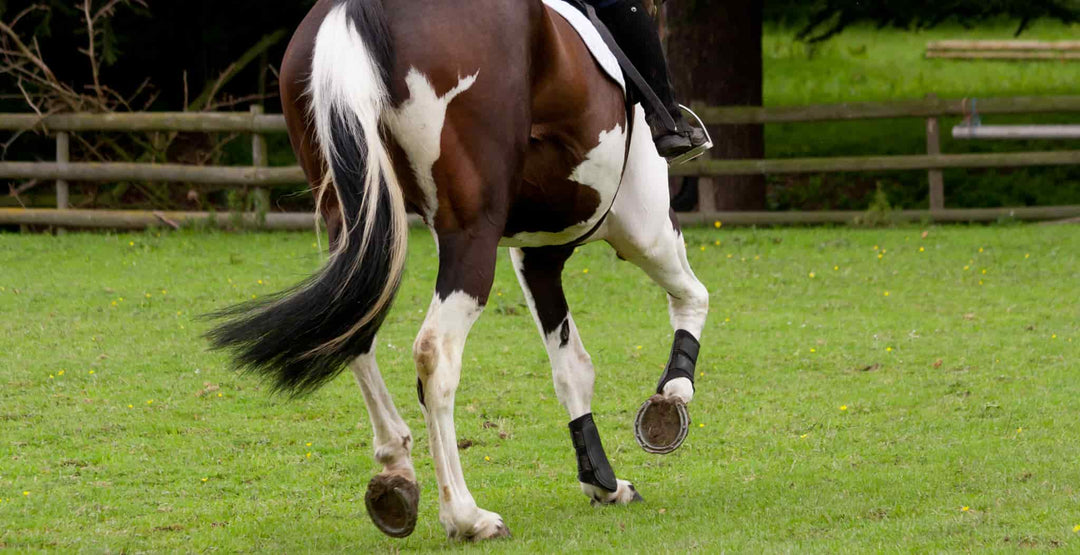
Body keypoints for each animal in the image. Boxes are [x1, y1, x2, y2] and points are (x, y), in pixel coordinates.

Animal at [209, 0, 709, 541]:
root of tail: (356, 10)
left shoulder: (539, 254)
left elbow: (573, 367)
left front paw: (602, 482)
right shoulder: (644, 226)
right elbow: (693, 297)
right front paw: (671, 399)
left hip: (360, 222)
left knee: (352, 329)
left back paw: (395, 476)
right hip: (471, 237)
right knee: (434, 354)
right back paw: (466, 515)